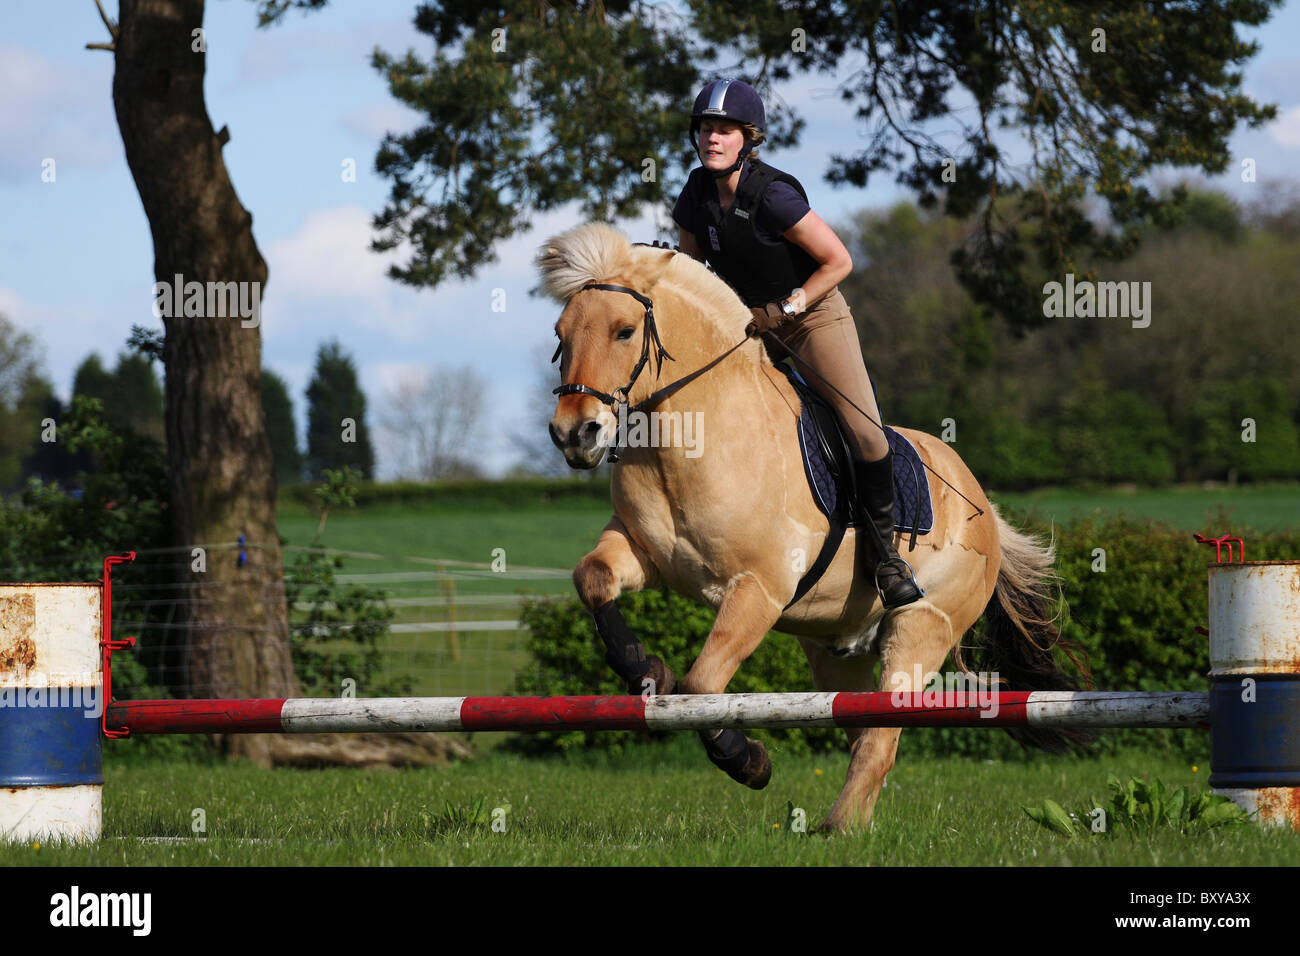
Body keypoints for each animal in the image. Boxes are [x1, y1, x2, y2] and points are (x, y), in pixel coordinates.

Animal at [538, 222, 1083, 832]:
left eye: (625, 331)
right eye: (561, 334)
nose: (574, 434)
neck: (690, 438)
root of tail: (985, 506)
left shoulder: (759, 589)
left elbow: (702, 685)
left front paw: (746, 761)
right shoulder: (643, 553)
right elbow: (594, 579)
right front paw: (644, 668)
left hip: (922, 627)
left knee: (884, 732)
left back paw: (837, 828)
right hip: (833, 648)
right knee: (860, 728)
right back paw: (849, 821)